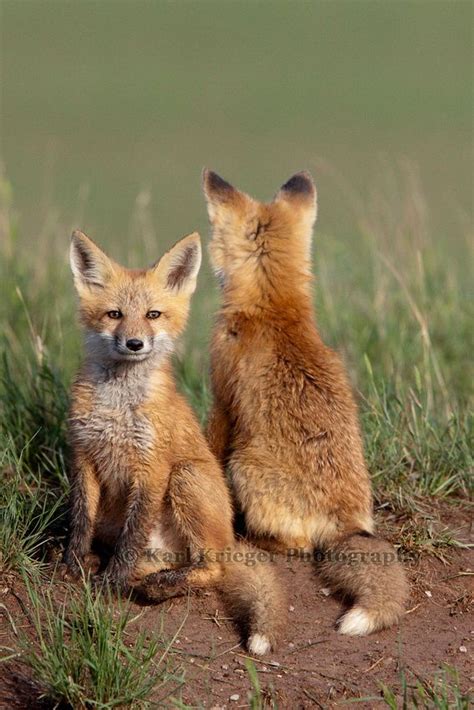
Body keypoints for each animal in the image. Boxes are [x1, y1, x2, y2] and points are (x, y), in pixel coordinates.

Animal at [62, 229, 285, 655]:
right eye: (114, 315)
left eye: (153, 315)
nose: (134, 343)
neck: (118, 405)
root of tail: (231, 535)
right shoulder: (84, 455)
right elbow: (80, 520)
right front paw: (71, 564)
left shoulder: (151, 467)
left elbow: (132, 536)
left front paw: (111, 583)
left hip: (185, 478)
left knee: (212, 567)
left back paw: (160, 587)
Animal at [202, 169, 408, 636]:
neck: (274, 306)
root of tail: (345, 523)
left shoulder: (223, 399)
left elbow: (209, 444)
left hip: (244, 466)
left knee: (295, 546)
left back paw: (256, 538)